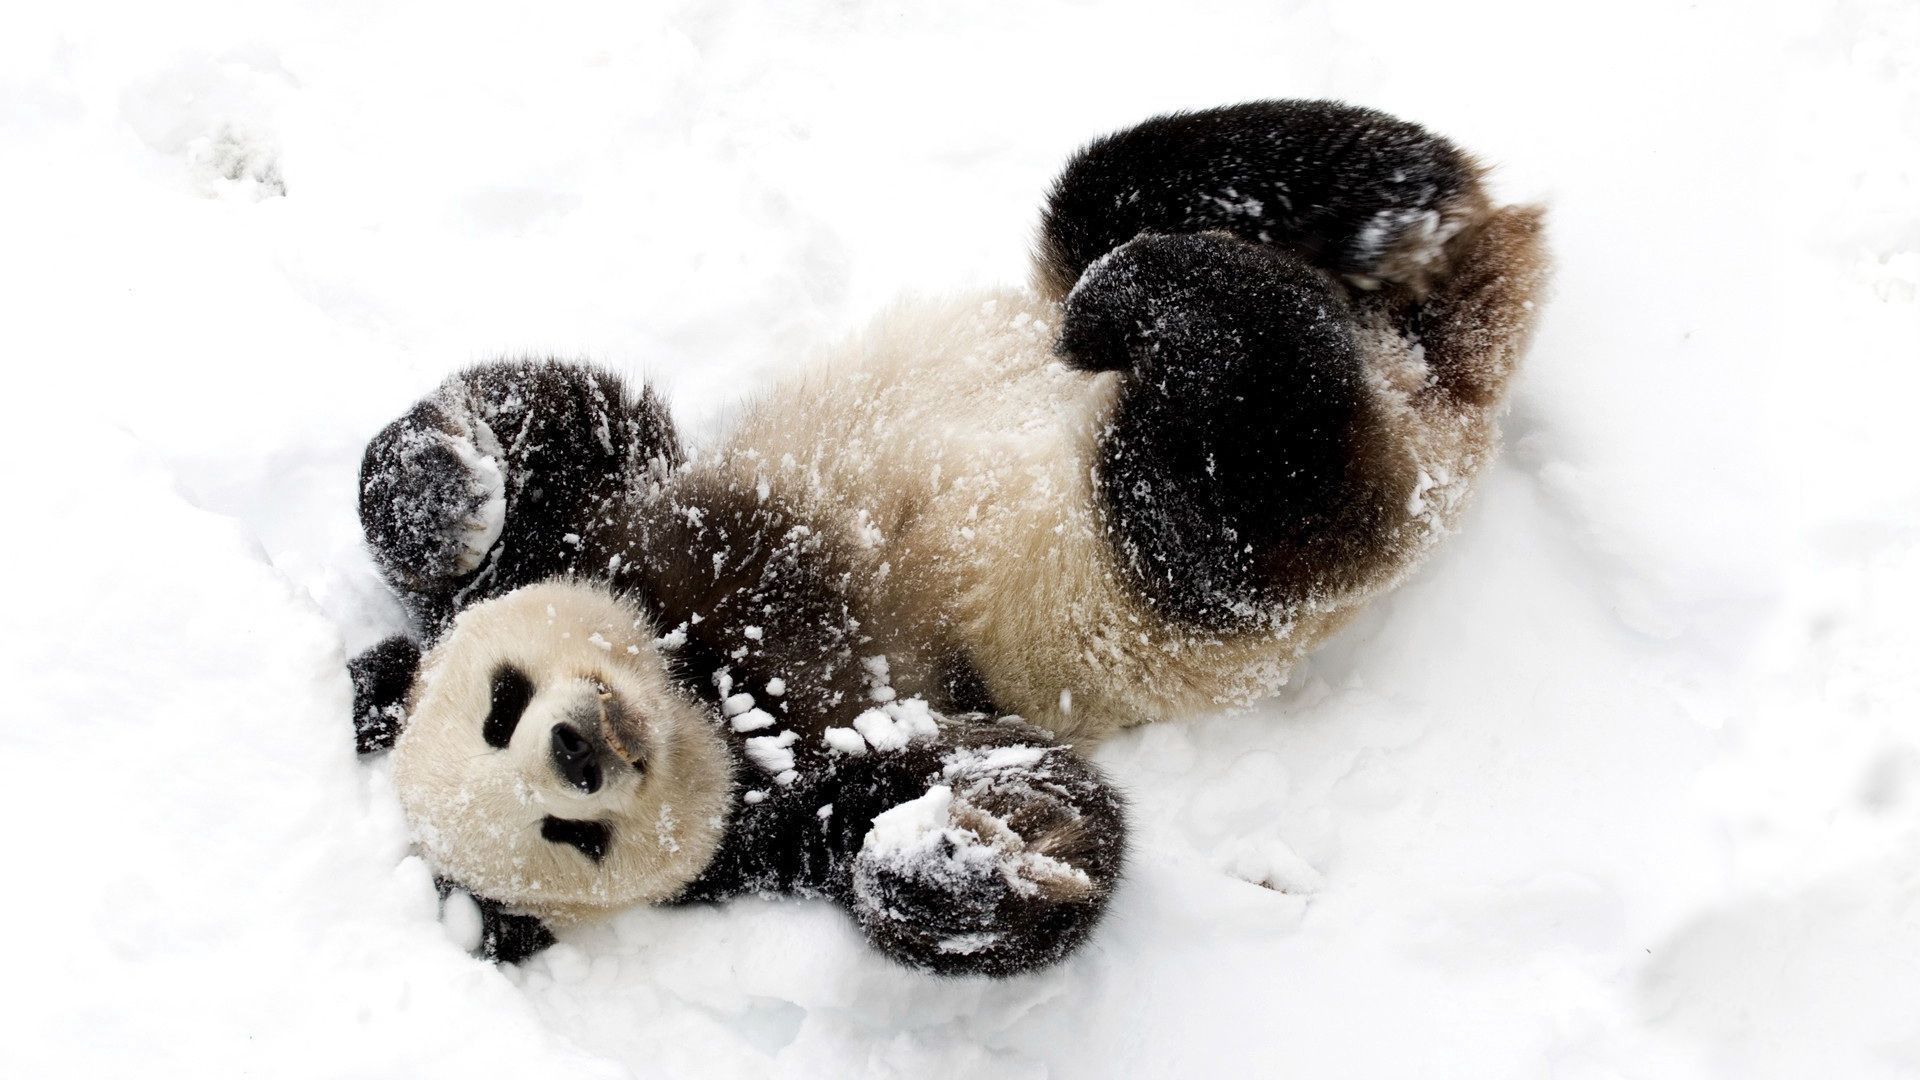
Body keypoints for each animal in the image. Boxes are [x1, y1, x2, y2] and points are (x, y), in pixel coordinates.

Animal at [348, 100, 1549, 977]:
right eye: (571, 837)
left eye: (501, 705)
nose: (579, 750)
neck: (705, 674)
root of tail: (1434, 373)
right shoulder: (802, 786)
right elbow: (1024, 802)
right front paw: (950, 859)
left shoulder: (618, 524)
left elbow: (558, 418)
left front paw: (444, 493)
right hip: (1193, 562)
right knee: (1245, 473)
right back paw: (1209, 300)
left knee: (1127, 189)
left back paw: (1368, 217)